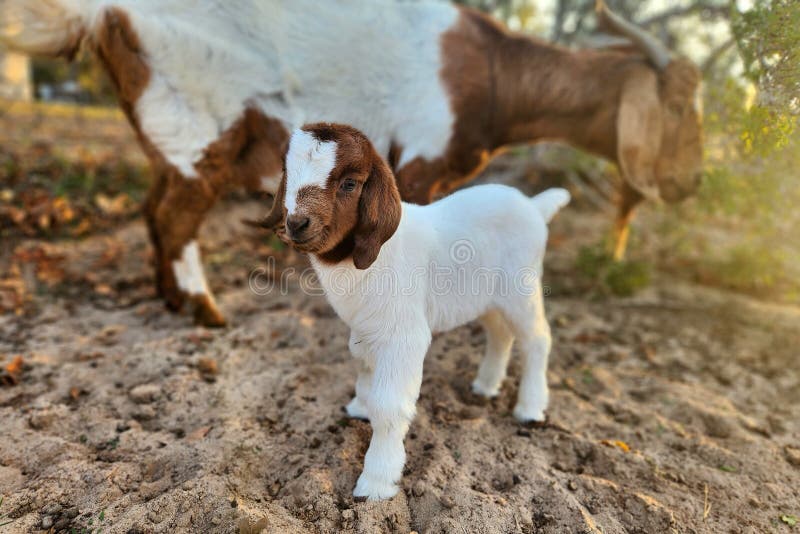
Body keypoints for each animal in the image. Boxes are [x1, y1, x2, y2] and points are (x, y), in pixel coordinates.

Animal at [0, 0, 702, 326]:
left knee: (153, 209)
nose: (691, 181)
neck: (493, 69)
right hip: (201, 115)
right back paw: (204, 309)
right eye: (677, 104)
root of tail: (103, 14)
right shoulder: (417, 157)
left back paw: (172, 299)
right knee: (175, 215)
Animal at [261, 123, 570, 500]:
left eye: (349, 183)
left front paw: (376, 484)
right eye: (287, 171)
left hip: (520, 289)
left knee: (537, 339)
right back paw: (485, 386)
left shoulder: (404, 336)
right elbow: (364, 371)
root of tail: (534, 206)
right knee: (500, 333)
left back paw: (530, 409)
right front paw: (359, 408)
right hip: (487, 297)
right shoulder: (365, 328)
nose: (296, 223)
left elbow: (390, 406)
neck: (373, 256)